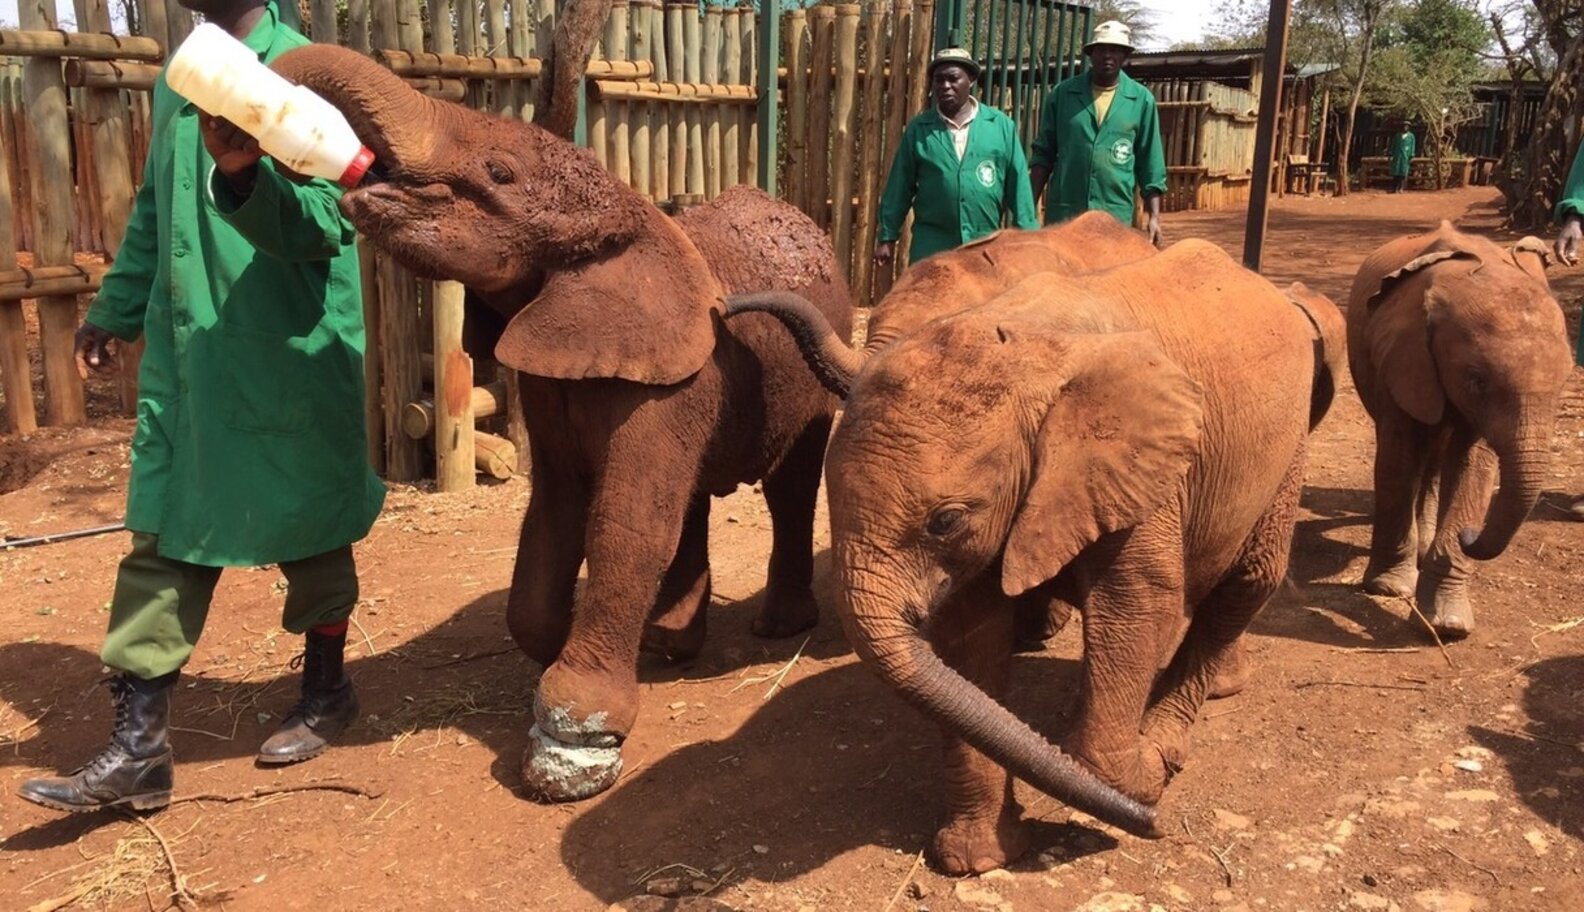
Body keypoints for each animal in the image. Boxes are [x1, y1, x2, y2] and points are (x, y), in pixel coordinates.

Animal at [269, 4, 852, 801]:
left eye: (499, 172)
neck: (628, 210)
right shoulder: (555, 375)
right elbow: (555, 506)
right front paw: (552, 641)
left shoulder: (674, 380)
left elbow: (626, 521)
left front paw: (576, 738)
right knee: (694, 499)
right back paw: (670, 642)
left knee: (790, 483)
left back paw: (776, 629)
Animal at [731, 239, 1346, 873]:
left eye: (946, 521)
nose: (1157, 825)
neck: (1025, 347)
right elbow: (971, 639)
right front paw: (976, 860)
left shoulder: (1135, 466)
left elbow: (1139, 604)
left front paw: (1145, 775)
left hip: (1288, 441)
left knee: (1249, 579)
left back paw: (1169, 736)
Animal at [1347, 222, 1573, 639]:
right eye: (1477, 381)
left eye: (1566, 381)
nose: (1471, 535)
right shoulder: (1402, 358)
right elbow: (1399, 460)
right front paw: (1389, 588)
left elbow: (1473, 471)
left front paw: (1449, 624)